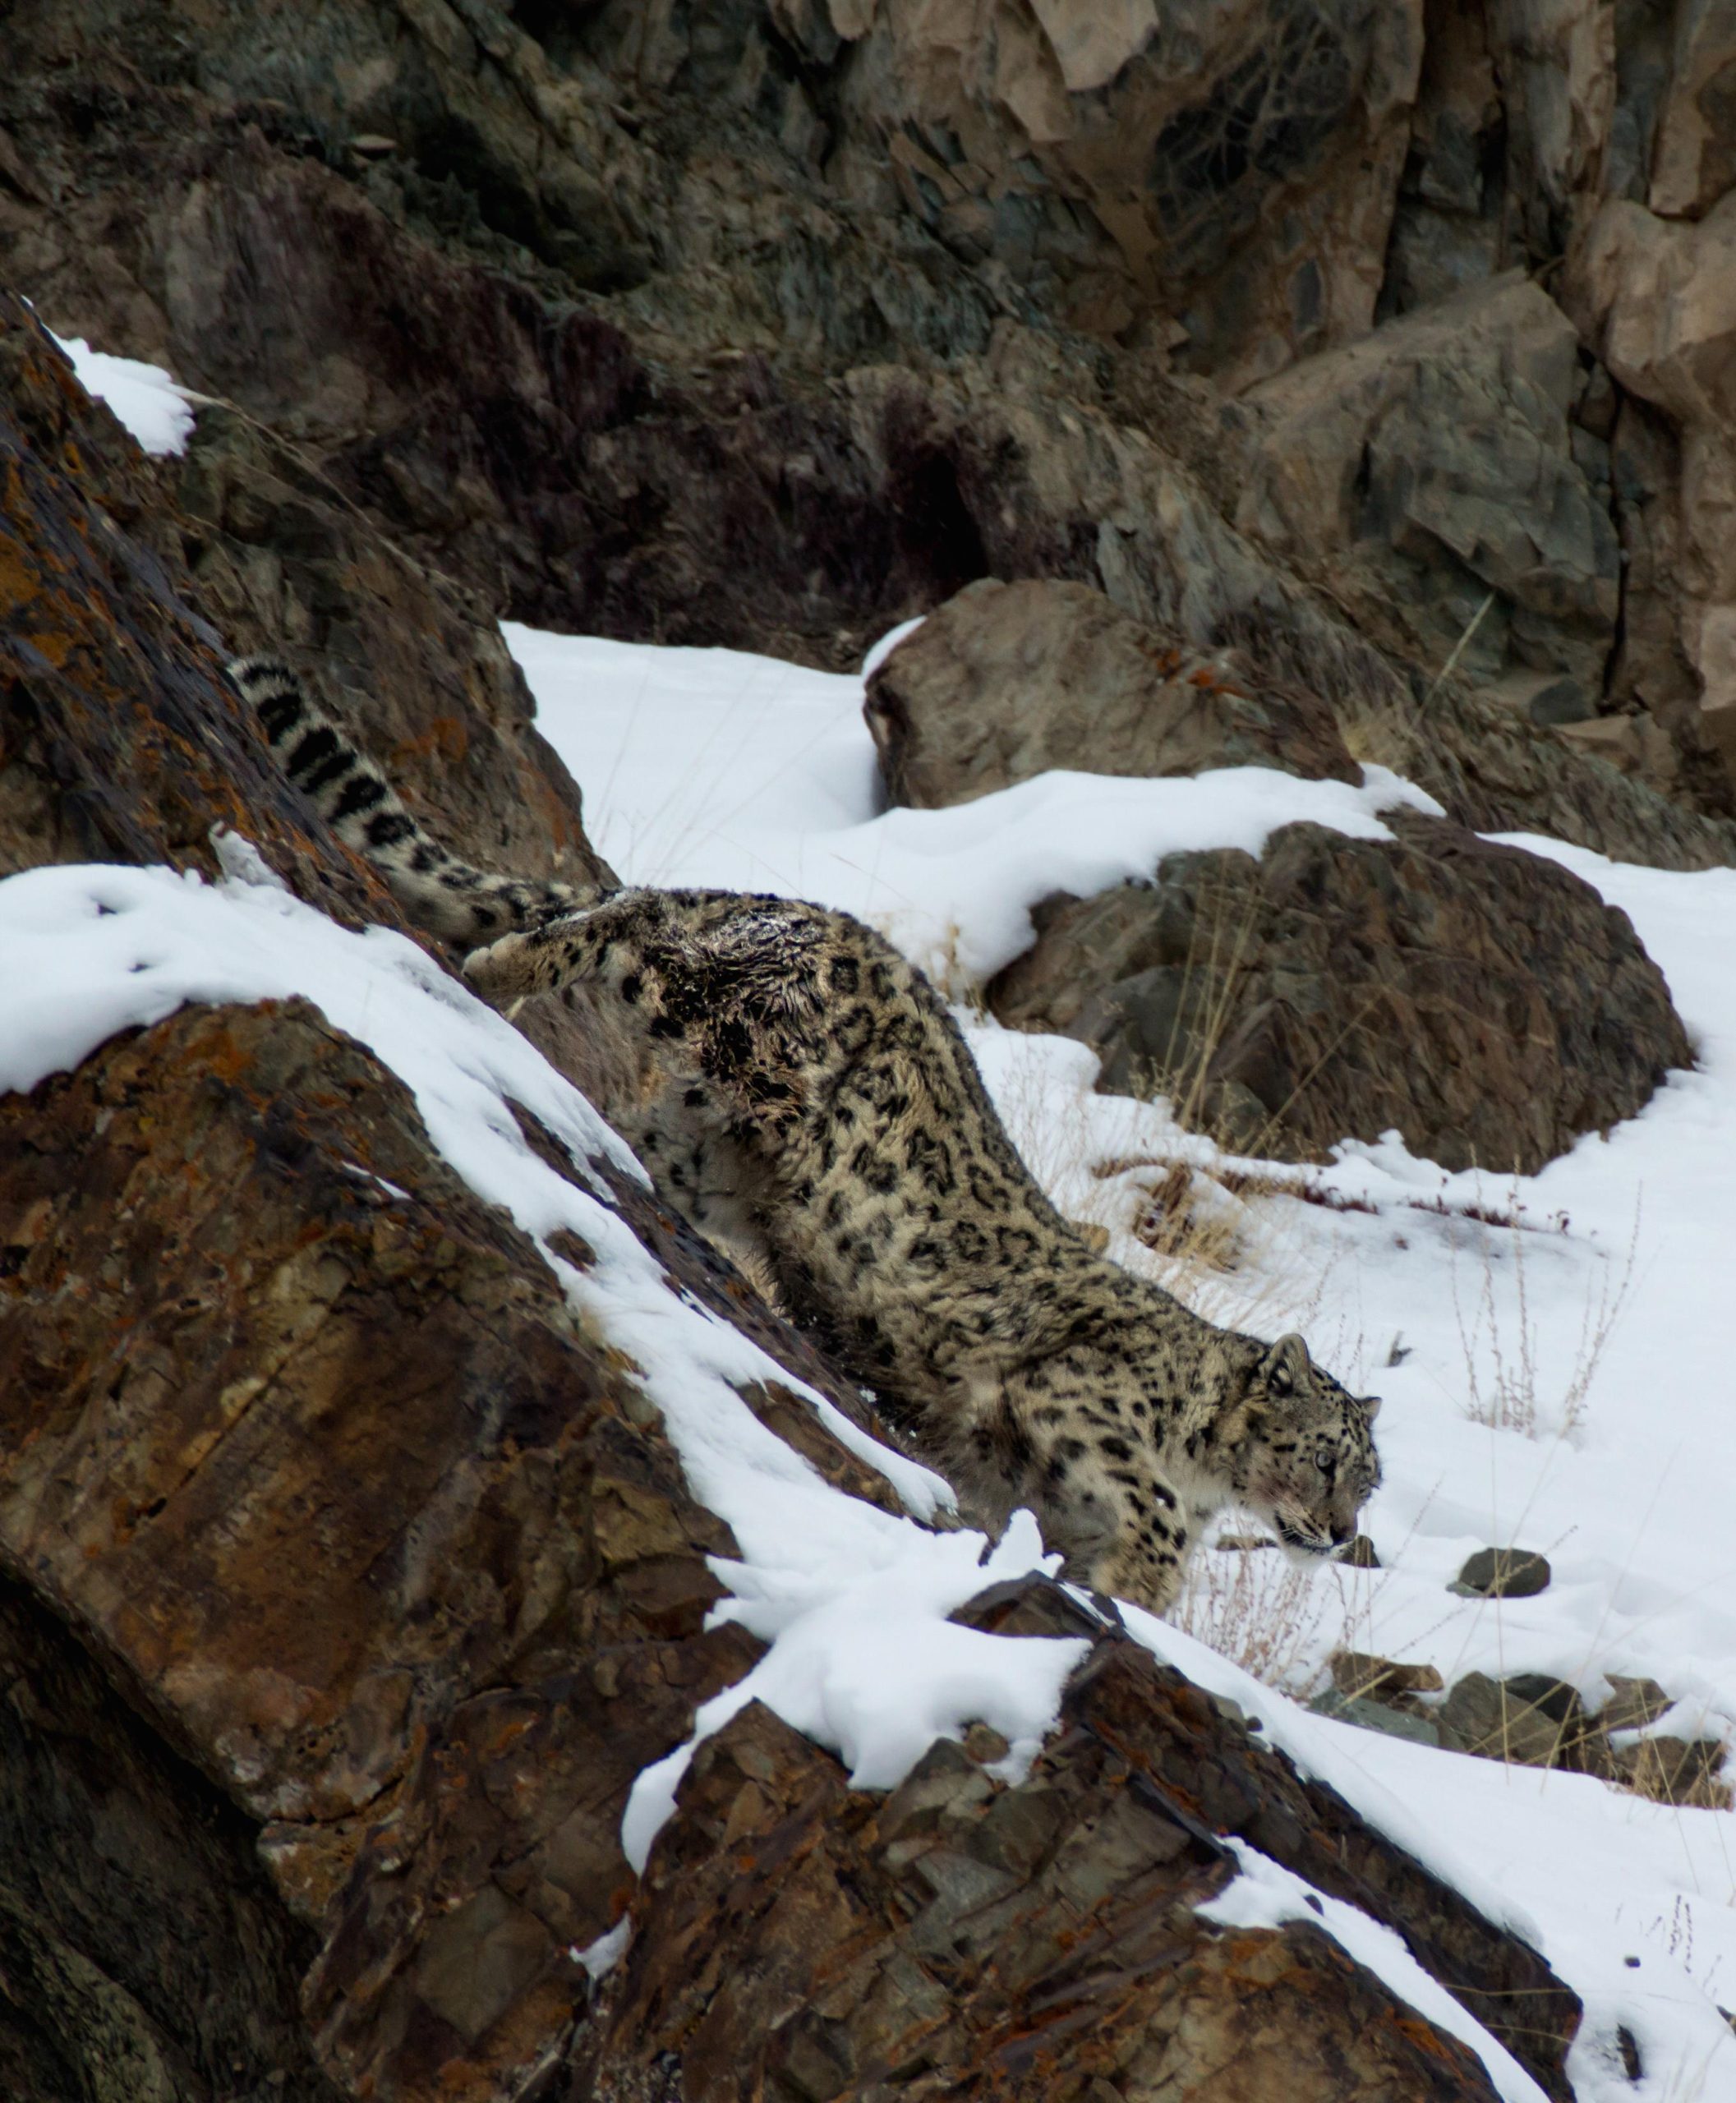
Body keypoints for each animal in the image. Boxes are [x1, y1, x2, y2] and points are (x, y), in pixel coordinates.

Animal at [234, 655, 1383, 1614]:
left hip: (715, 1143)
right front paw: (1146, 1578)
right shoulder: (1080, 1395)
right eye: (1329, 1457)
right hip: (747, 1026)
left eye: (1367, 1482)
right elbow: (1149, 1506)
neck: (1204, 1458)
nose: (1337, 1535)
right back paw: (505, 971)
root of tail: (817, 914)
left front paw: (1124, 1594)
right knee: (638, 919)